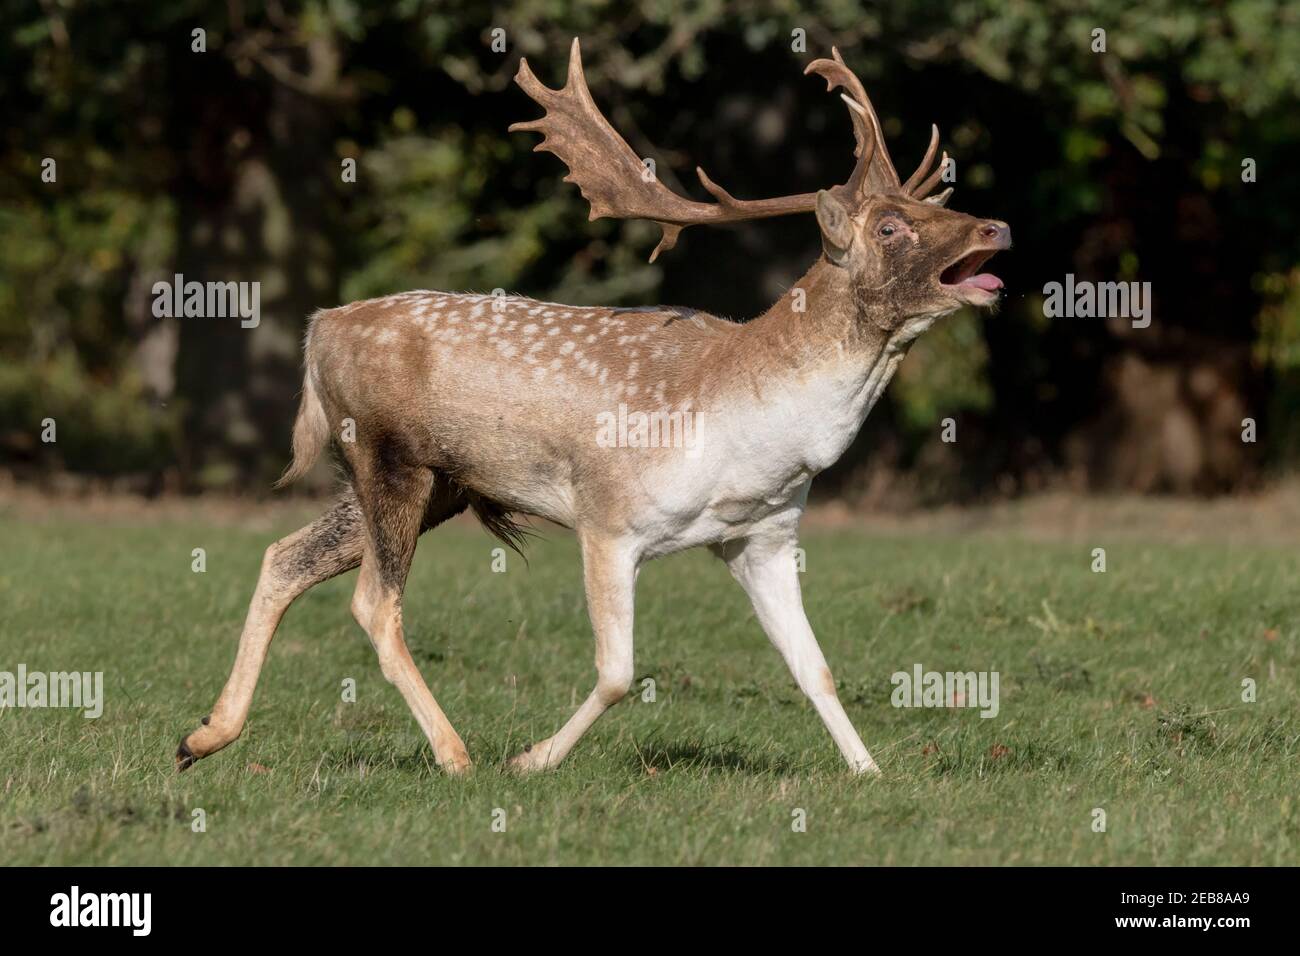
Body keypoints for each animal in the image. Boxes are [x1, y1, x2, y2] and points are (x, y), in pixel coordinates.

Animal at [176, 39, 1009, 777]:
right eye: (890, 226)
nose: (995, 226)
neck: (743, 432)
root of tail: (319, 330)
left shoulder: (765, 536)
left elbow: (815, 667)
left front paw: (871, 772)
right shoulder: (608, 517)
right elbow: (617, 671)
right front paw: (531, 759)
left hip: (432, 484)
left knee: (284, 557)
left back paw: (202, 736)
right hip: (389, 460)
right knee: (374, 603)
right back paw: (456, 755)